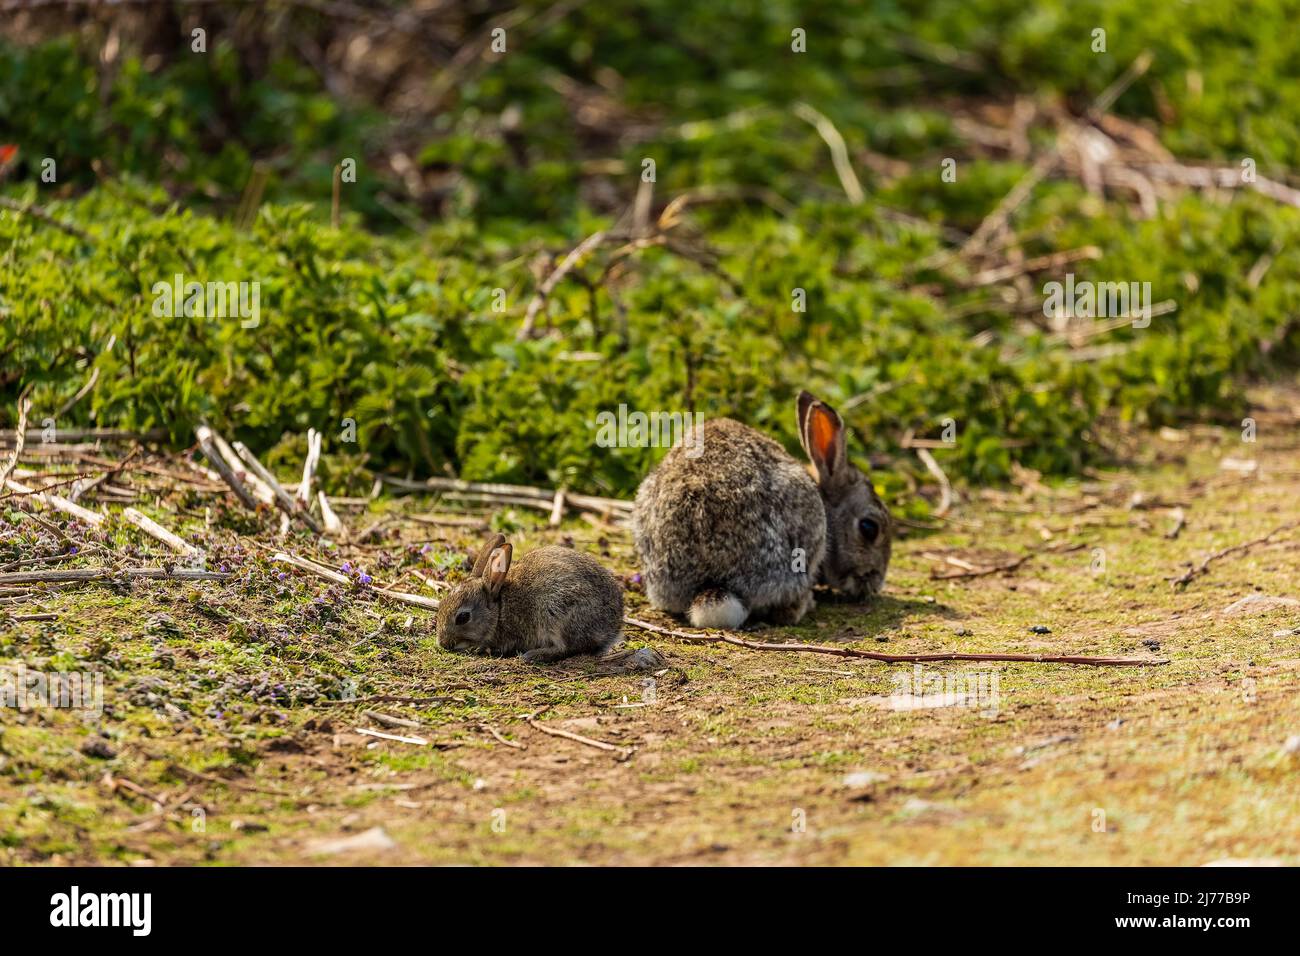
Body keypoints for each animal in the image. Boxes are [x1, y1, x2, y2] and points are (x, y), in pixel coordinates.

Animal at [436, 534, 625, 663]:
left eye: (463, 617)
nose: (443, 643)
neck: (498, 610)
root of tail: (612, 627)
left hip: (558, 615)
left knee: (567, 648)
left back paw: (532, 655)